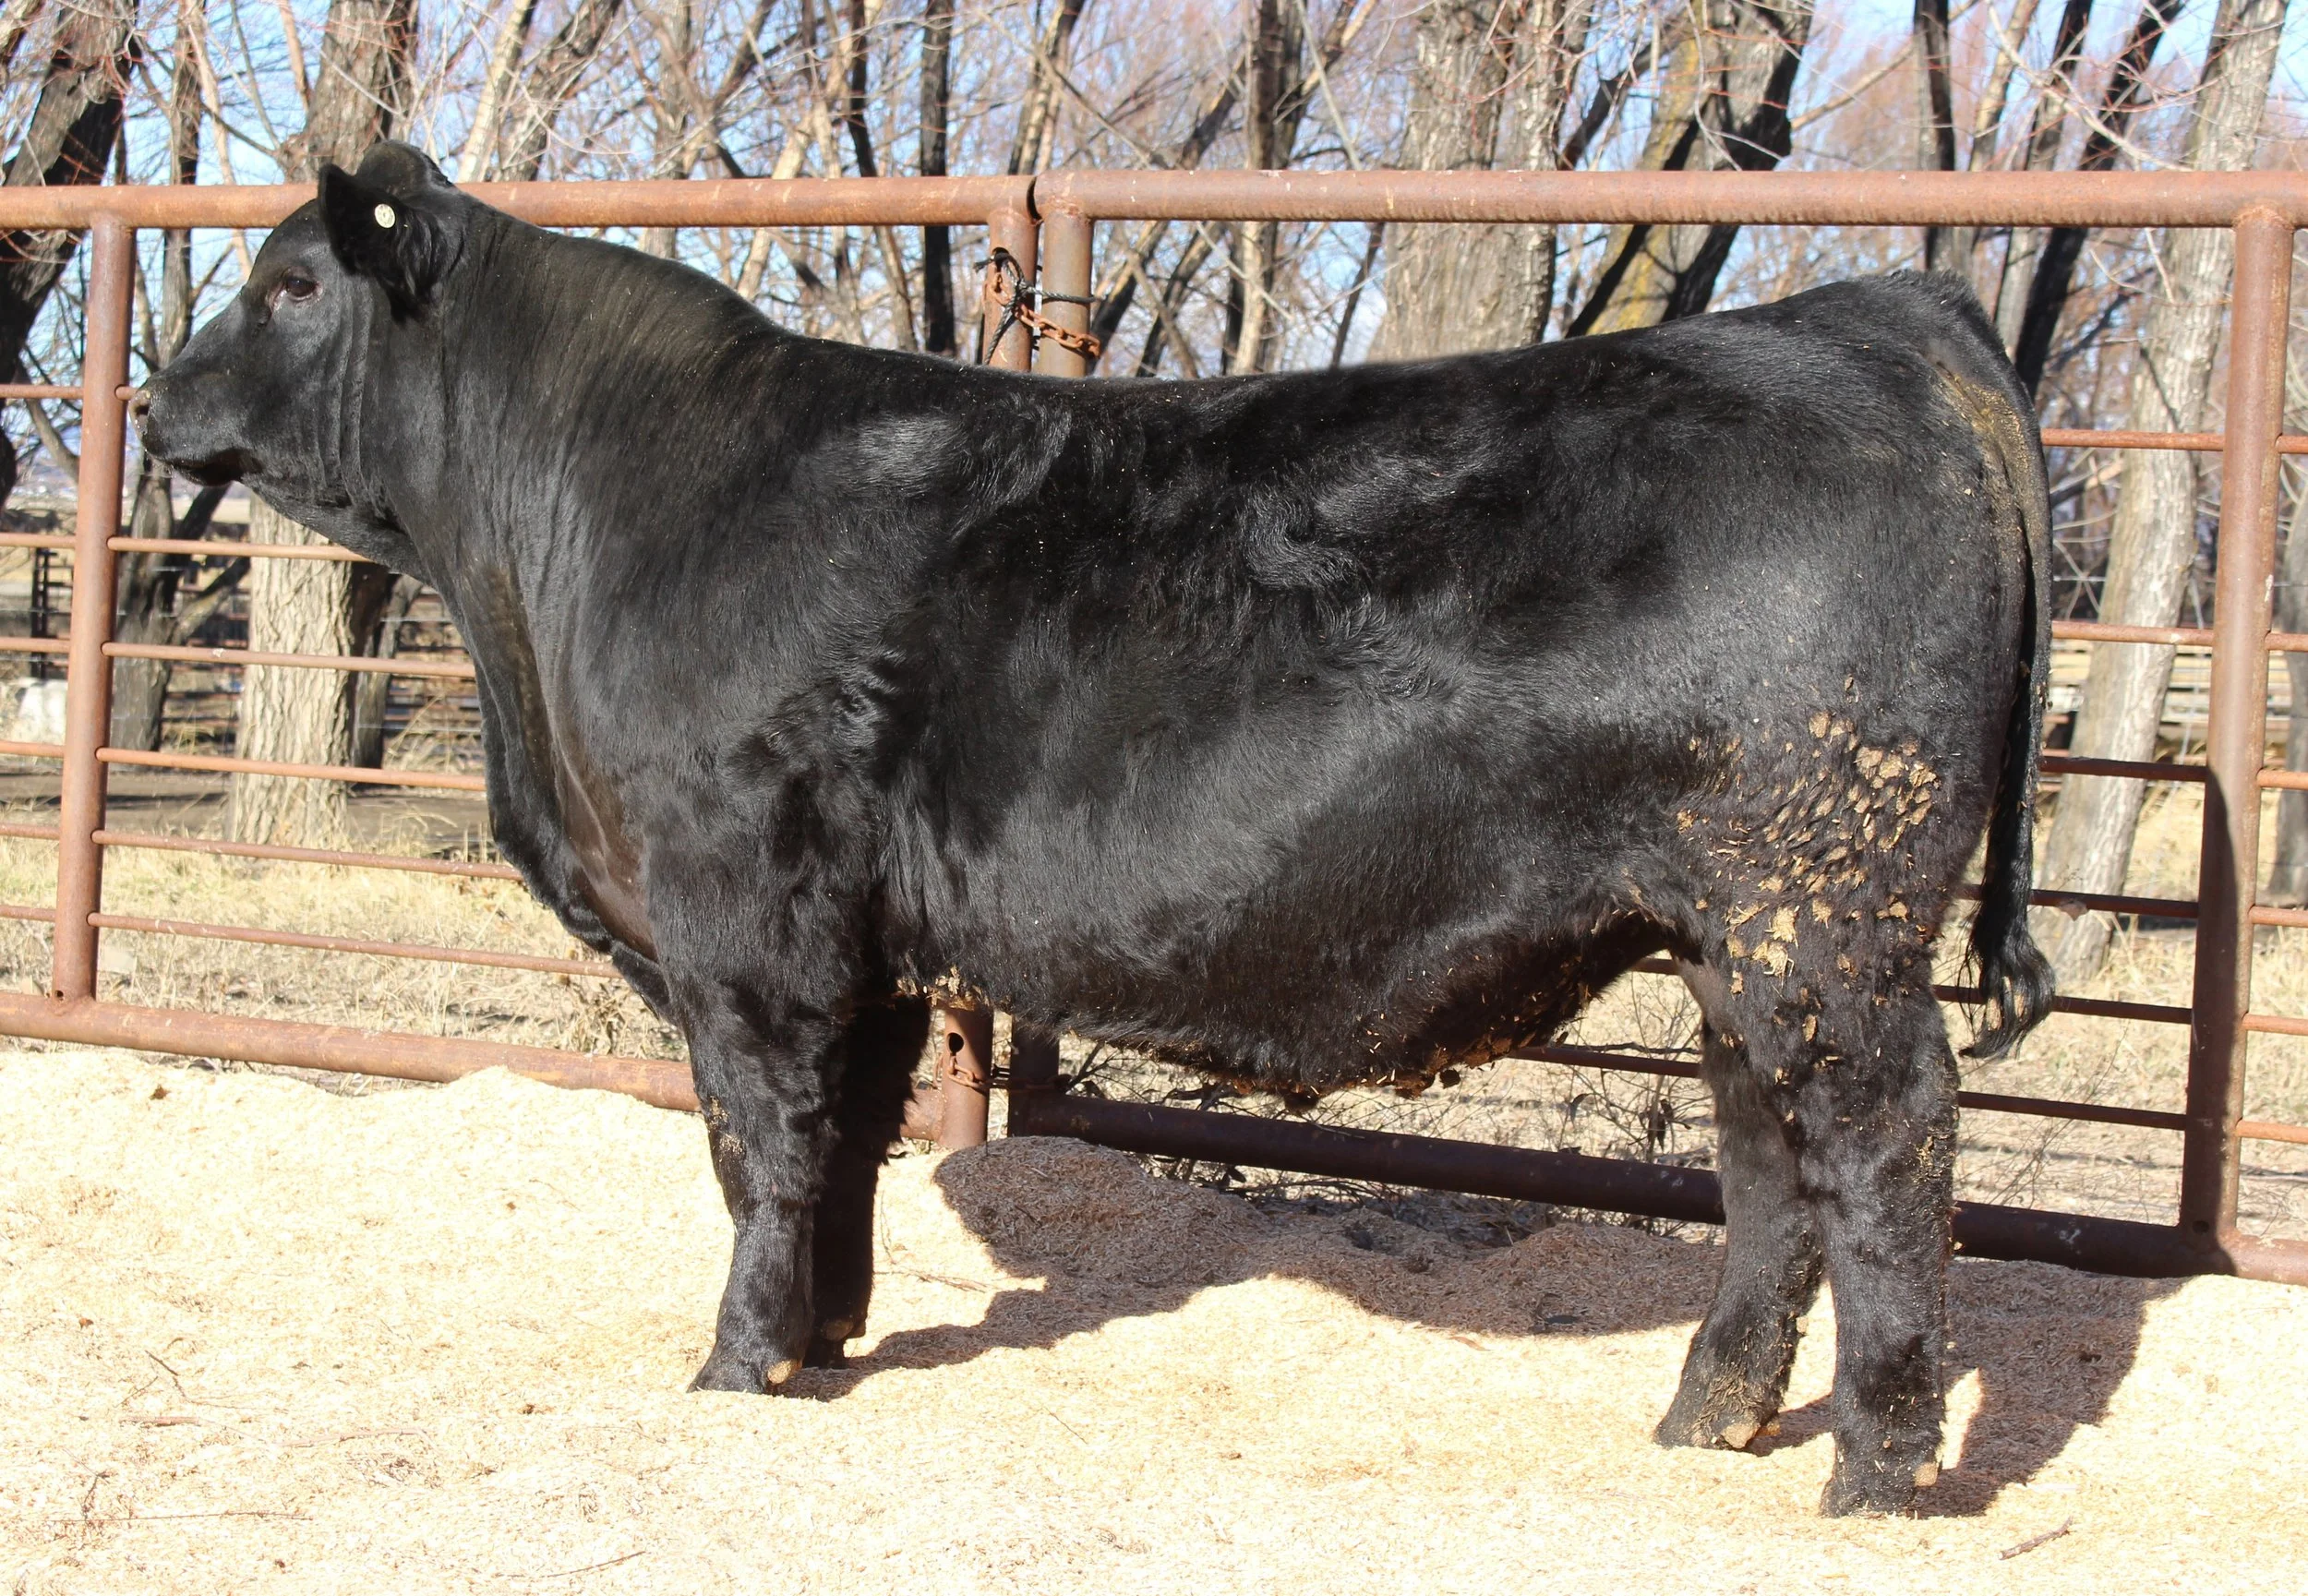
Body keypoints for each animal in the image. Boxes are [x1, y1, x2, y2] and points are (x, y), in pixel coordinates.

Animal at [138, 142, 2055, 1516]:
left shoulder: (742, 909)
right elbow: (845, 1142)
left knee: (1889, 1143)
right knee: (1769, 1166)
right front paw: (825, 1342)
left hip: (1827, 910)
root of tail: (1870, 310)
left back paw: (1879, 1469)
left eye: (291, 278)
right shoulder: (862, 934)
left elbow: (760, 1140)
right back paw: (1706, 1420)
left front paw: (735, 1368)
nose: (155, 395)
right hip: (1741, 936)